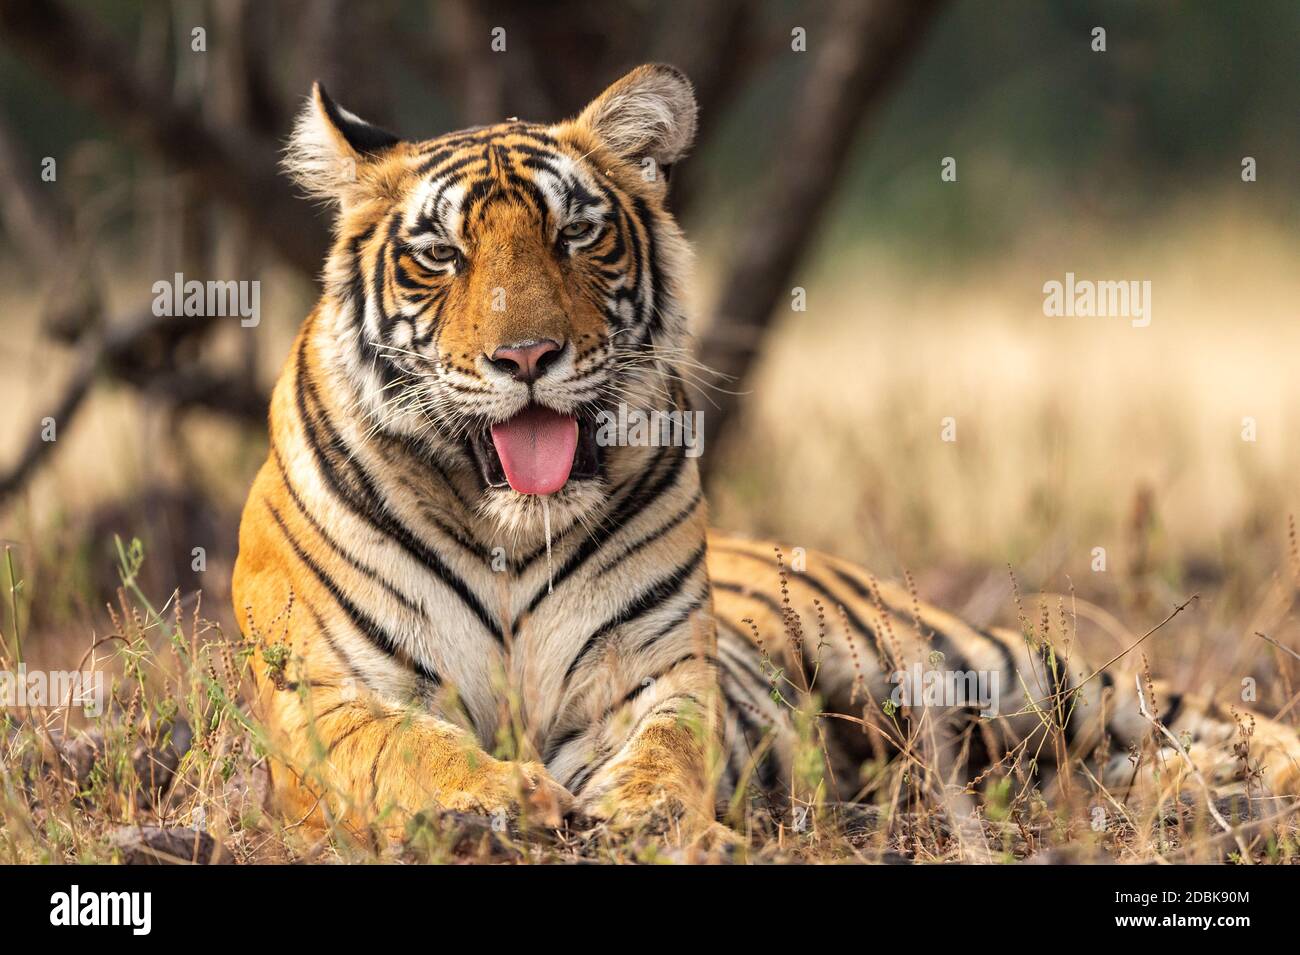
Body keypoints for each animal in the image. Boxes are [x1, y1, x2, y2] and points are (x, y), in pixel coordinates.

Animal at [233, 64, 1300, 843]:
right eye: (441, 256)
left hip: (972, 667)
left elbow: (668, 752)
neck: (508, 529)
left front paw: (642, 816)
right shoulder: (329, 692)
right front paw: (501, 802)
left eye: (576, 235)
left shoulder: (657, 674)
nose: (528, 356)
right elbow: (408, 752)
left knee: (1176, 703)